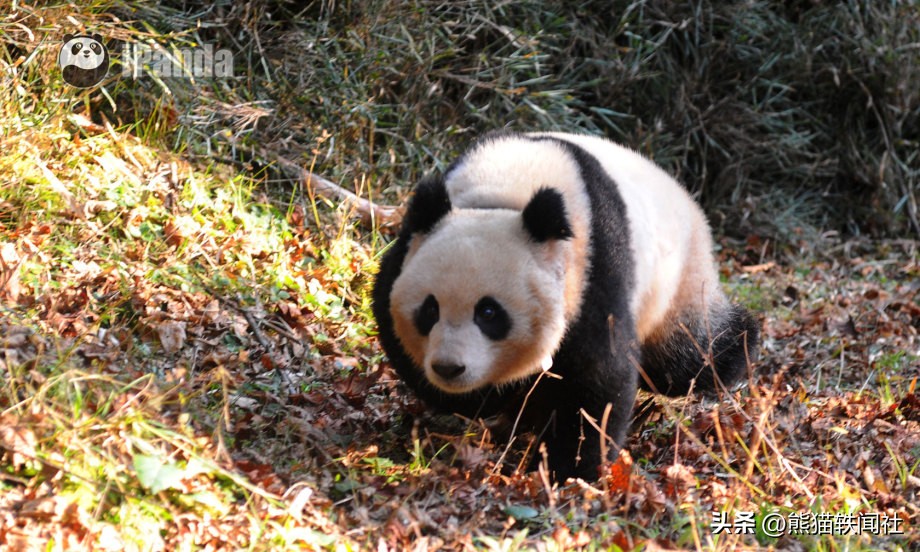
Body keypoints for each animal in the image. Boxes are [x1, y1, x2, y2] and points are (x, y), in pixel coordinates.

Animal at [372, 132, 759, 481]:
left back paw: (742, 343)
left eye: (489, 313)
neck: (506, 195)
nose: (449, 367)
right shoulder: (408, 246)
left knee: (689, 353)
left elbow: (596, 378)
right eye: (429, 310)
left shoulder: (593, 269)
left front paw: (569, 469)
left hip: (677, 281)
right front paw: (483, 399)